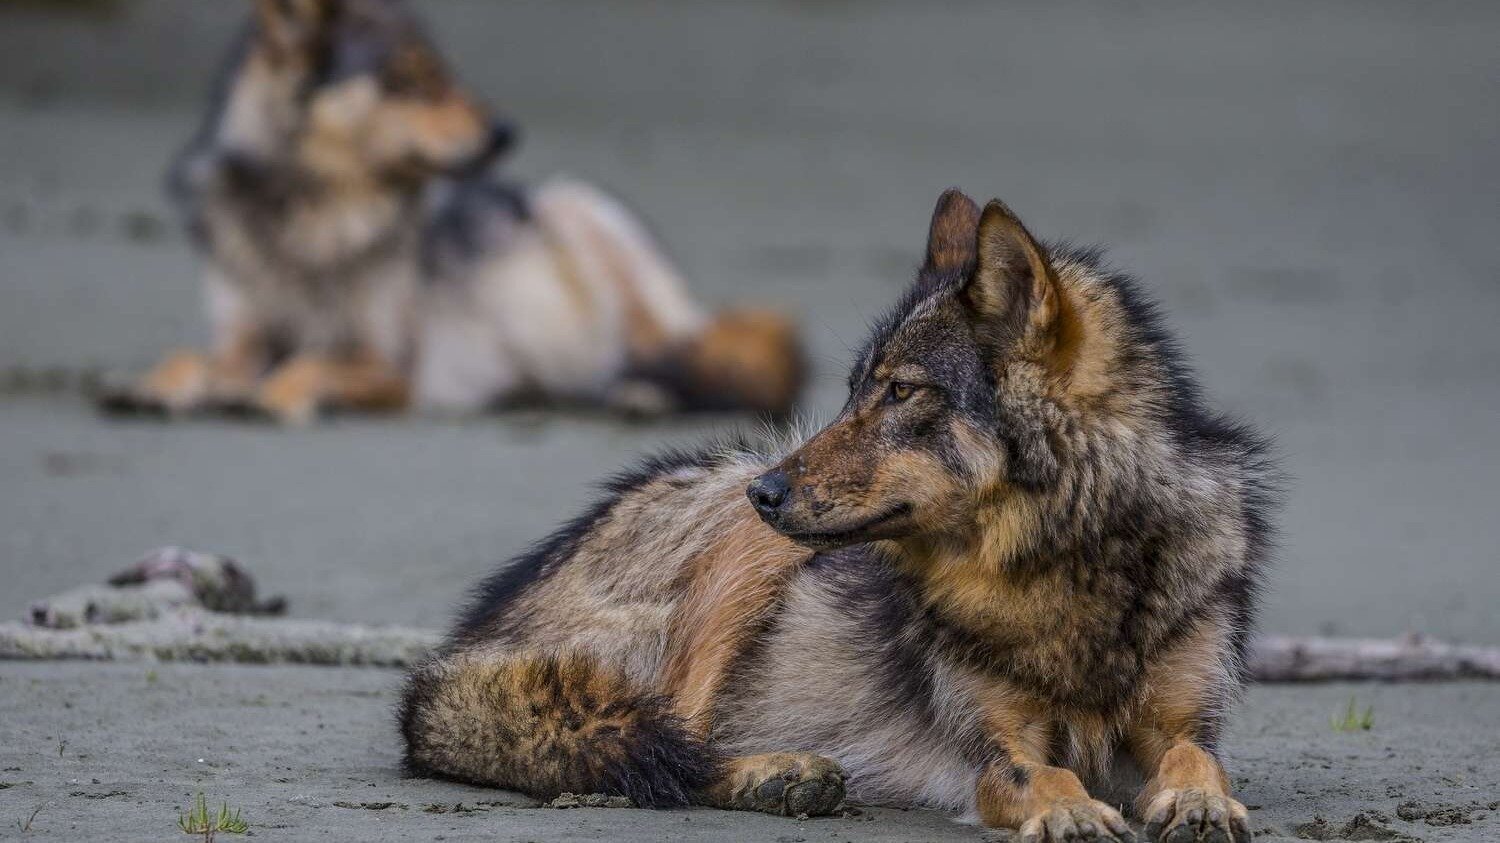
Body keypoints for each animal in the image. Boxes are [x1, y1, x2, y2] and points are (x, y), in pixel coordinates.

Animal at [101, 0, 802, 423]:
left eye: (445, 72)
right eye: (412, 80)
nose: (505, 131)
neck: (312, 210)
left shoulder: (394, 365)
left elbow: (311, 362)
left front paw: (272, 393)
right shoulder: (241, 334)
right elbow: (196, 356)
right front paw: (156, 383)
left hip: (578, 210)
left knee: (700, 356)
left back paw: (640, 392)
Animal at [399, 189, 1276, 843]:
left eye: (901, 391)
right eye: (854, 390)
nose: (767, 496)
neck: (1064, 563)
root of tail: (474, 637)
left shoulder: (1184, 716)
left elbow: (1199, 758)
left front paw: (1198, 801)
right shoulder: (993, 742)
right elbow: (1039, 769)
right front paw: (1071, 810)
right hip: (744, 556)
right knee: (665, 743)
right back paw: (778, 771)